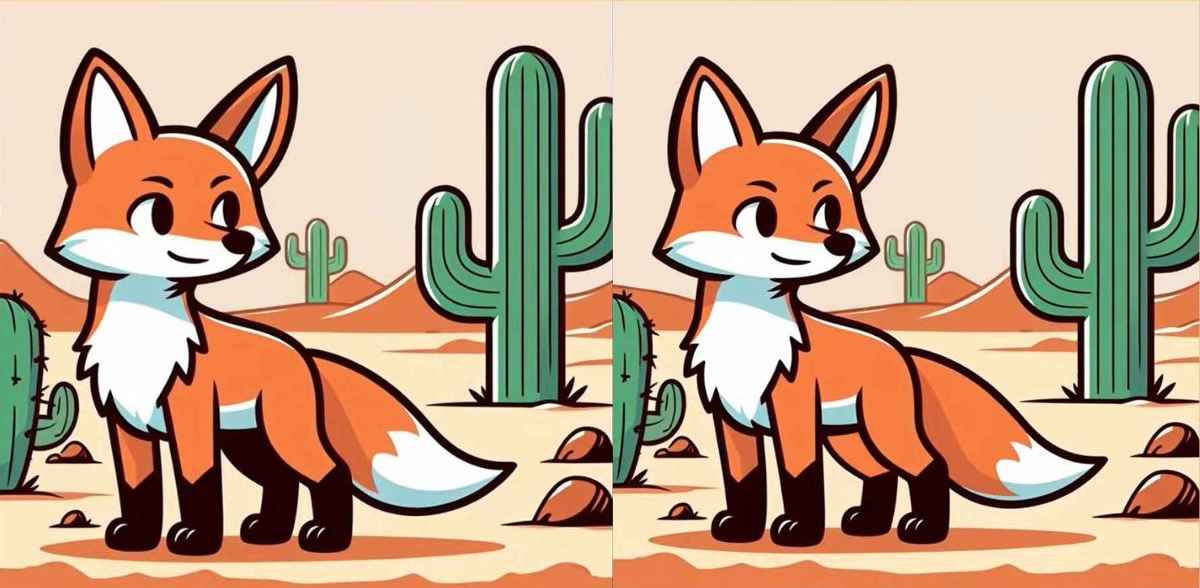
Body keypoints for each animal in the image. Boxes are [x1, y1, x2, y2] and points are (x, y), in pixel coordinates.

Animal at [44, 49, 514, 555]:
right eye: (157, 211)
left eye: (230, 208)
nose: (238, 240)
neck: (143, 332)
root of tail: (304, 354)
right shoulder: (125, 420)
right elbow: (138, 486)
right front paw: (137, 537)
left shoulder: (191, 415)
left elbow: (196, 482)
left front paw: (198, 538)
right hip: (248, 443)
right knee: (281, 480)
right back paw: (269, 532)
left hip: (281, 433)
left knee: (328, 471)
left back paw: (326, 537)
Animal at [654, 58, 1105, 546]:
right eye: (761, 215)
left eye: (831, 212)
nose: (838, 242)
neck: (748, 332)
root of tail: (902, 352)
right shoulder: (731, 417)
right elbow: (743, 480)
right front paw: (741, 529)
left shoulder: (794, 413)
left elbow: (799, 476)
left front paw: (800, 530)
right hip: (849, 438)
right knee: (880, 473)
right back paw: (869, 523)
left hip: (881, 429)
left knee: (927, 465)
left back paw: (924, 529)